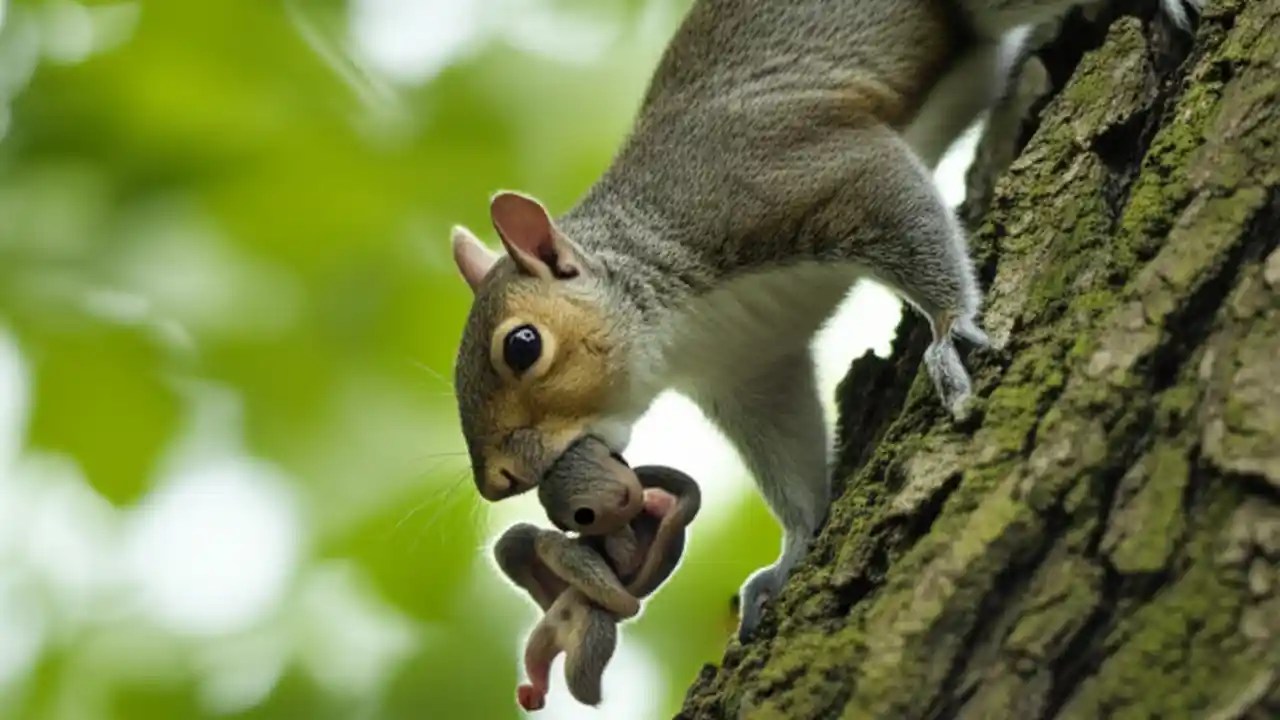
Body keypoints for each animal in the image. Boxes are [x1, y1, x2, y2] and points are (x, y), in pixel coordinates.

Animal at [451, 0, 1204, 640]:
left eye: (523, 345)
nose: (497, 484)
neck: (676, 328)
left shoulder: (788, 177)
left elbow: (896, 204)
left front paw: (950, 328)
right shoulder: (750, 368)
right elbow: (791, 461)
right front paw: (793, 554)